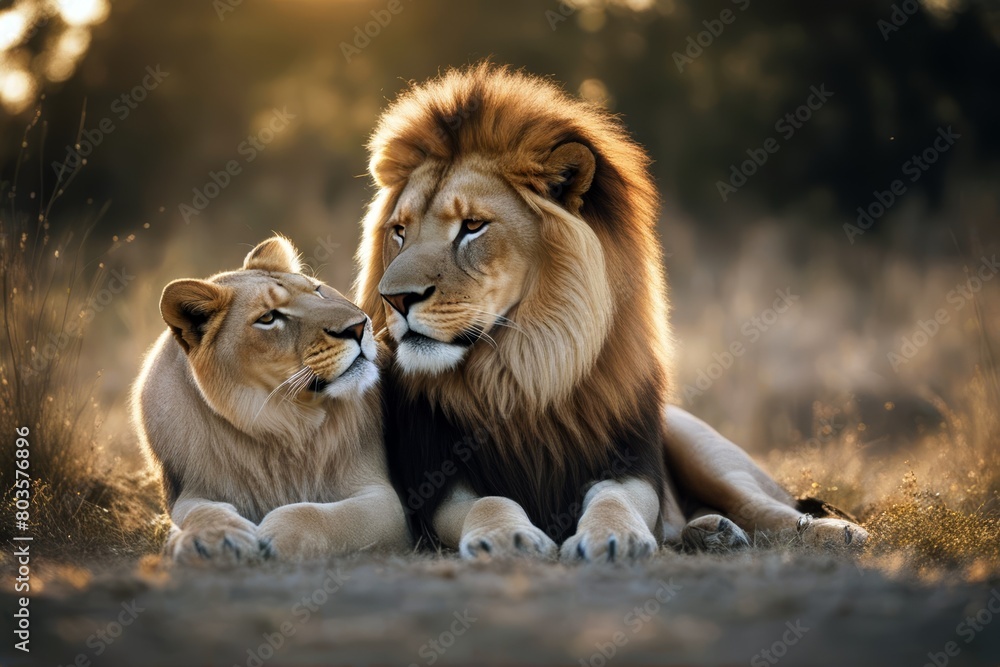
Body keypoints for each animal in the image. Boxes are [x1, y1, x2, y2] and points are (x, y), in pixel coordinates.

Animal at [133, 236, 410, 564]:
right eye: (268, 318)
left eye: (317, 290)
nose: (359, 325)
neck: (282, 424)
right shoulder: (191, 488)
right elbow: (197, 510)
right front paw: (214, 537)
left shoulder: (386, 502)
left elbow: (332, 516)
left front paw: (279, 534)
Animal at [355, 63, 868, 562]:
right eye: (400, 231)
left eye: (473, 226)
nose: (393, 299)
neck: (522, 369)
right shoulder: (437, 484)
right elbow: (490, 499)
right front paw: (508, 538)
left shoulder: (630, 462)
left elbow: (614, 496)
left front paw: (613, 536)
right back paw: (711, 533)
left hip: (698, 443)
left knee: (761, 504)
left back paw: (830, 532)